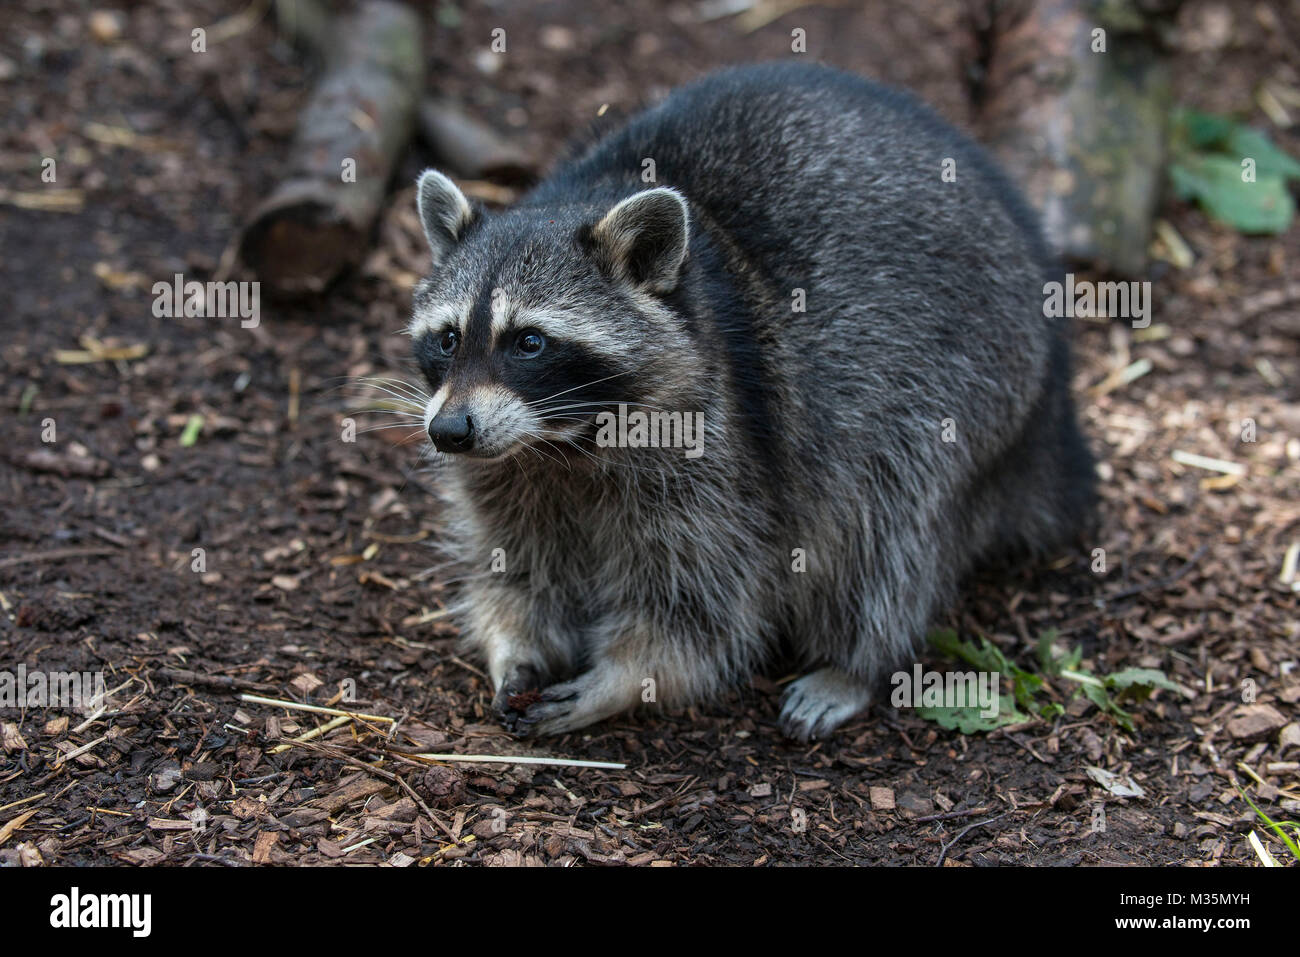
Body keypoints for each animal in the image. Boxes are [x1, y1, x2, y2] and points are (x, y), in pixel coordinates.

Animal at [405, 62, 1095, 741]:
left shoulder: (722, 445)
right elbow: (517, 559)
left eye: (529, 342)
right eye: (448, 338)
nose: (449, 431)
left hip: (965, 374)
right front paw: (516, 643)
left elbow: (705, 598)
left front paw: (624, 677)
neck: (560, 443)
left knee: (885, 525)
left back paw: (856, 664)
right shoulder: (509, 470)